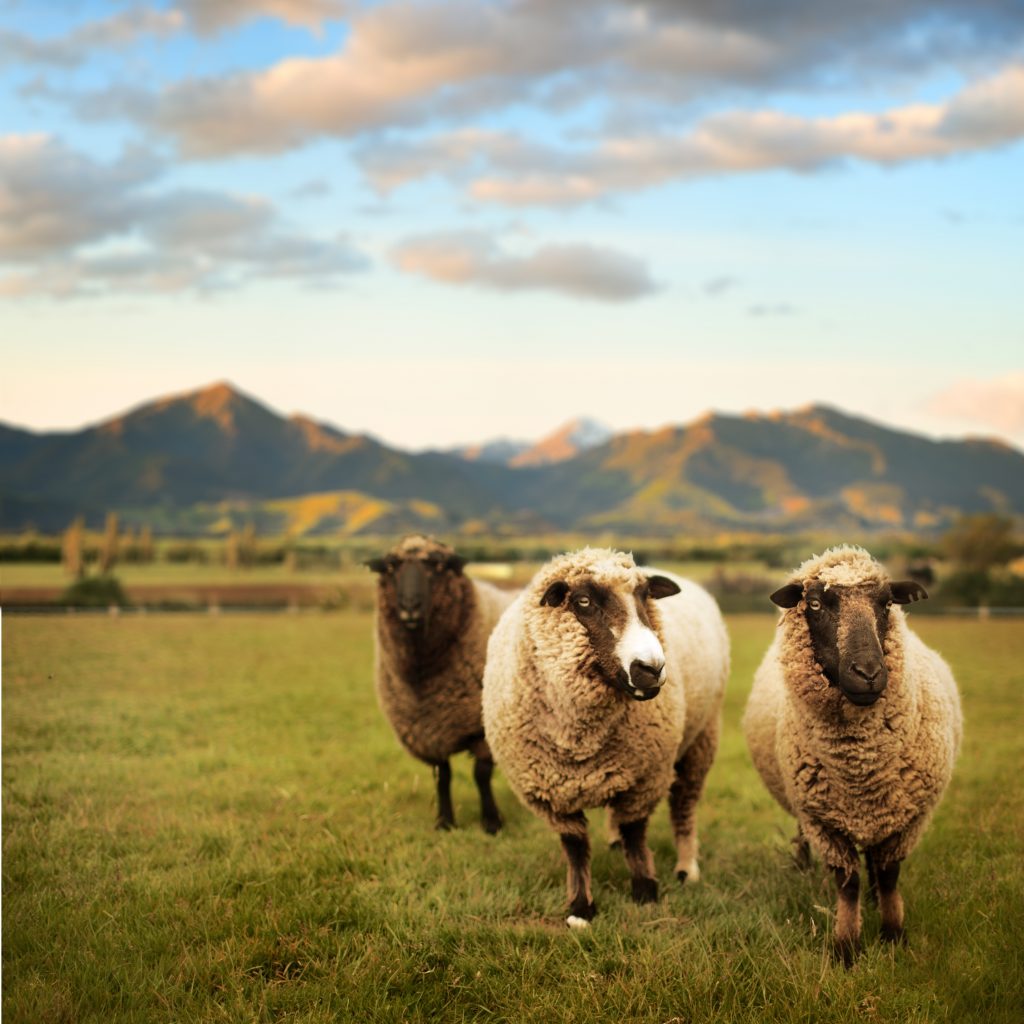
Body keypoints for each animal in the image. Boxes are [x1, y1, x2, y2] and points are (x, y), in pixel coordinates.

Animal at [368, 534, 516, 834]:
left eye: (437, 566)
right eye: (391, 567)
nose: (410, 607)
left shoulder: (482, 728)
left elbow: (481, 775)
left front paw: (491, 822)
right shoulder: (428, 730)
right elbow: (442, 777)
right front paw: (445, 821)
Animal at [482, 548, 729, 927]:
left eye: (646, 596)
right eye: (582, 601)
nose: (651, 669)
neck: (580, 740)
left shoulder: (646, 776)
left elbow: (635, 832)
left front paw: (645, 891)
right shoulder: (551, 792)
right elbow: (575, 846)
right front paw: (580, 908)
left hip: (702, 736)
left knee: (684, 805)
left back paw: (687, 869)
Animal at [742, 545, 962, 964]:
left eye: (887, 602)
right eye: (814, 604)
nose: (868, 672)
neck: (859, 769)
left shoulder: (907, 819)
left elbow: (889, 875)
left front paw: (893, 934)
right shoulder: (823, 820)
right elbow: (847, 883)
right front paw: (846, 947)